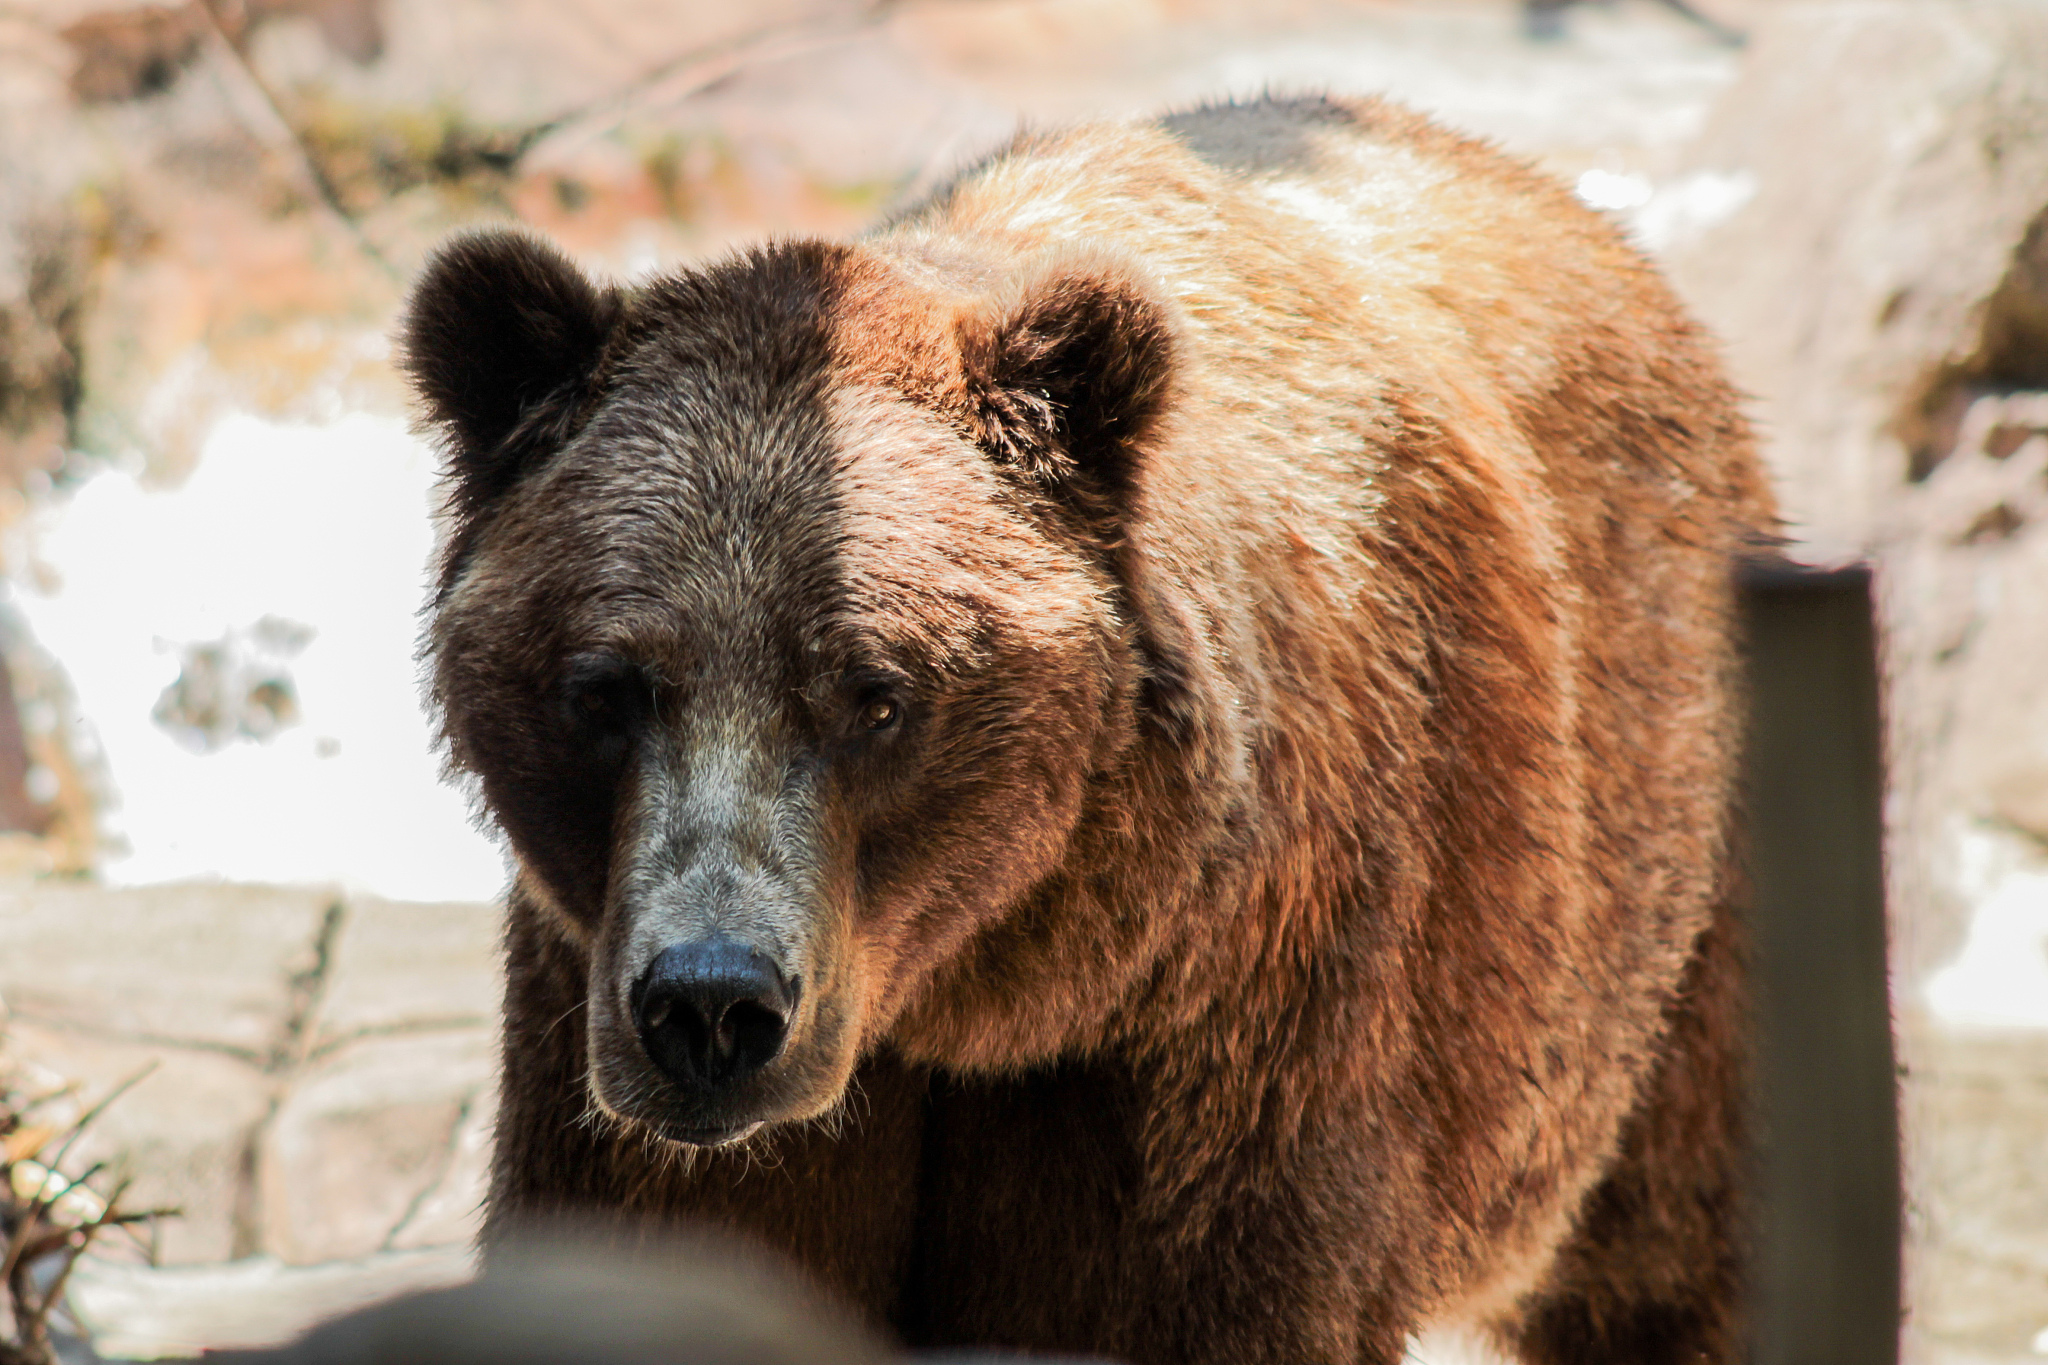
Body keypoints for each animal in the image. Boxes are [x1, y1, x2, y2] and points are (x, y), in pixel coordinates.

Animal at [400, 94, 1771, 1365]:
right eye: (605, 688)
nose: (710, 1006)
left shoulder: (1210, 1051)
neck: (966, 1000)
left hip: (1647, 916)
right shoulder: (612, 1045)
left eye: (874, 694)